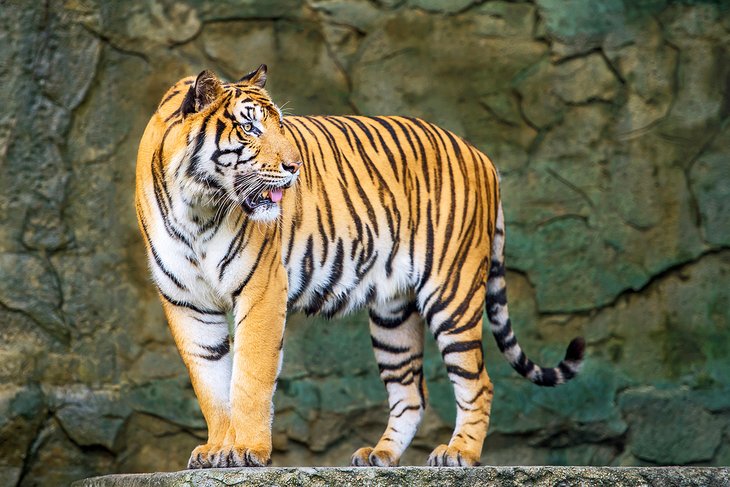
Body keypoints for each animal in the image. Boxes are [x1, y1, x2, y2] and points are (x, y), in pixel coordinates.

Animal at [135, 65, 580, 468]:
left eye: (280, 125)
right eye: (250, 128)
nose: (295, 167)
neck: (198, 205)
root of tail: (481, 156)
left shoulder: (261, 291)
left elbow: (249, 378)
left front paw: (246, 450)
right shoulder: (187, 303)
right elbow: (209, 383)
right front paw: (216, 450)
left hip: (452, 292)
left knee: (479, 383)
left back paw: (459, 454)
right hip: (393, 314)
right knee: (411, 393)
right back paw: (380, 455)